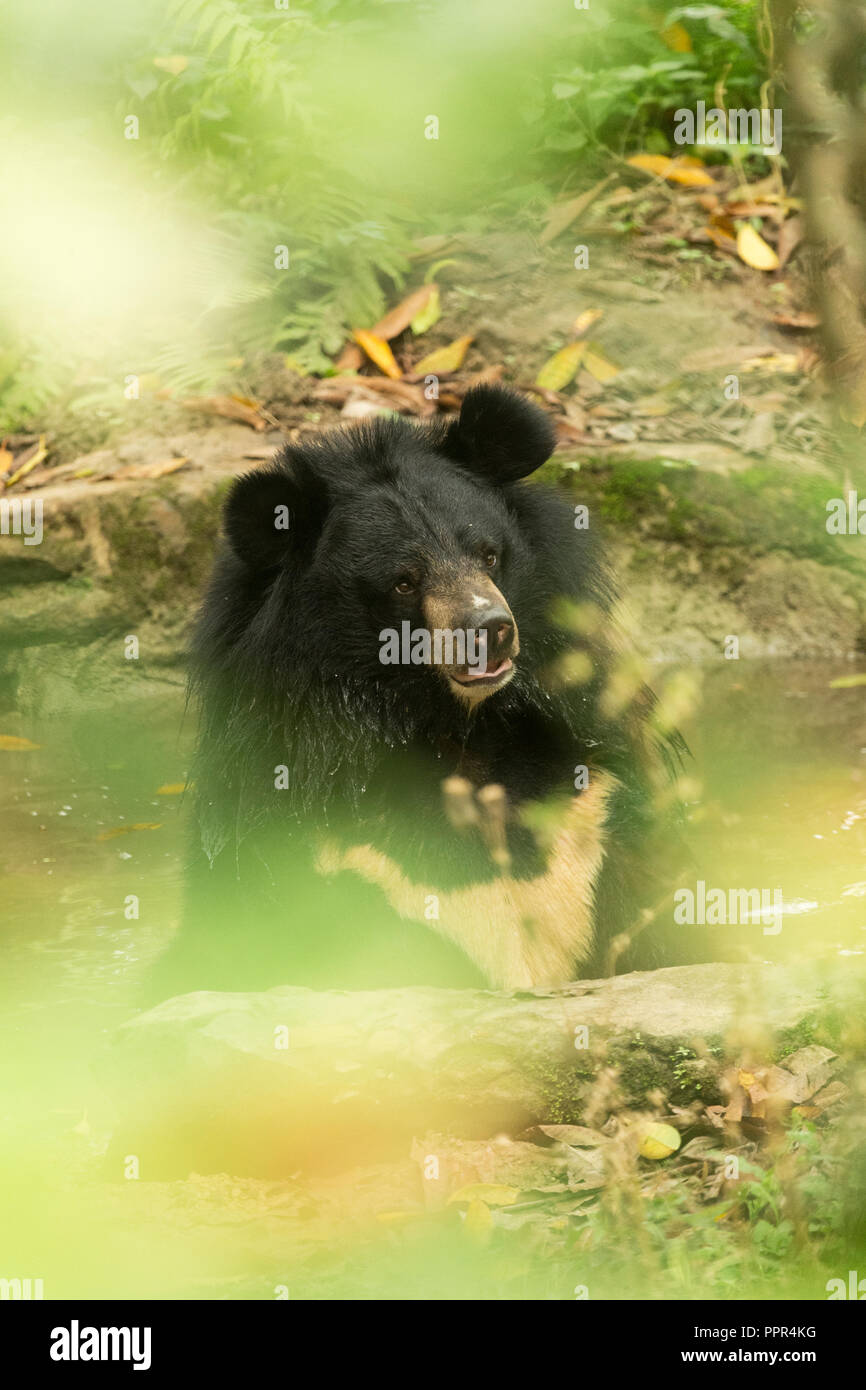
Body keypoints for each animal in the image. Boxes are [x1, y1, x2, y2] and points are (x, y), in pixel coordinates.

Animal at [146, 384, 681, 1002]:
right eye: (404, 580)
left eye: (489, 554)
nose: (490, 630)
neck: (455, 725)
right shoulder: (316, 844)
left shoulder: (595, 806)